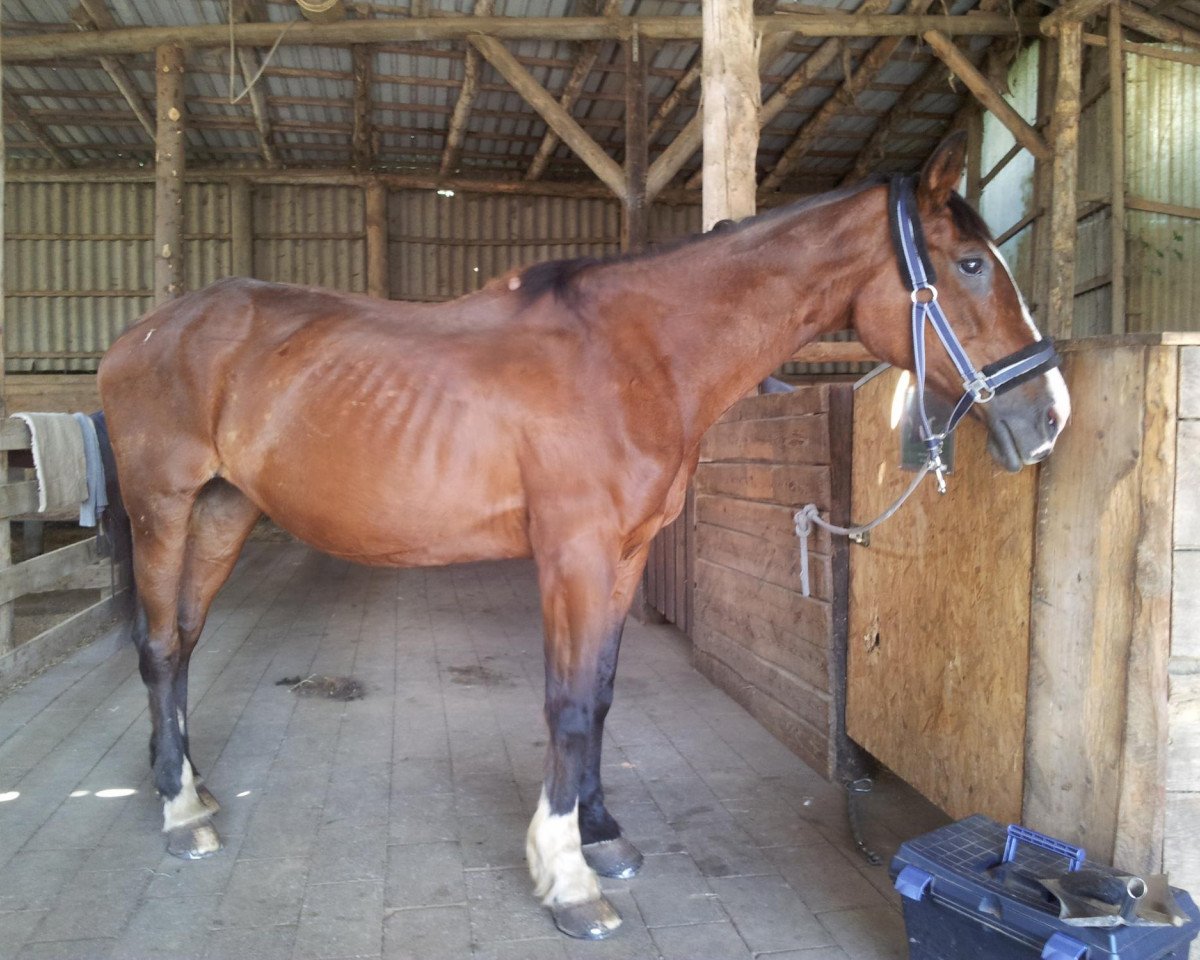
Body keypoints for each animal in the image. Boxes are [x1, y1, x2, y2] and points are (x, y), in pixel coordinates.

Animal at [96, 134, 1069, 940]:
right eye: (971, 264)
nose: (1050, 417)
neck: (634, 353)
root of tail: (140, 334)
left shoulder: (624, 556)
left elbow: (598, 694)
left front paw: (601, 834)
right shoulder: (575, 553)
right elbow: (565, 704)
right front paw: (568, 879)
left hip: (223, 510)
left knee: (184, 641)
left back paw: (190, 783)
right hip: (164, 509)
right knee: (158, 646)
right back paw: (181, 815)